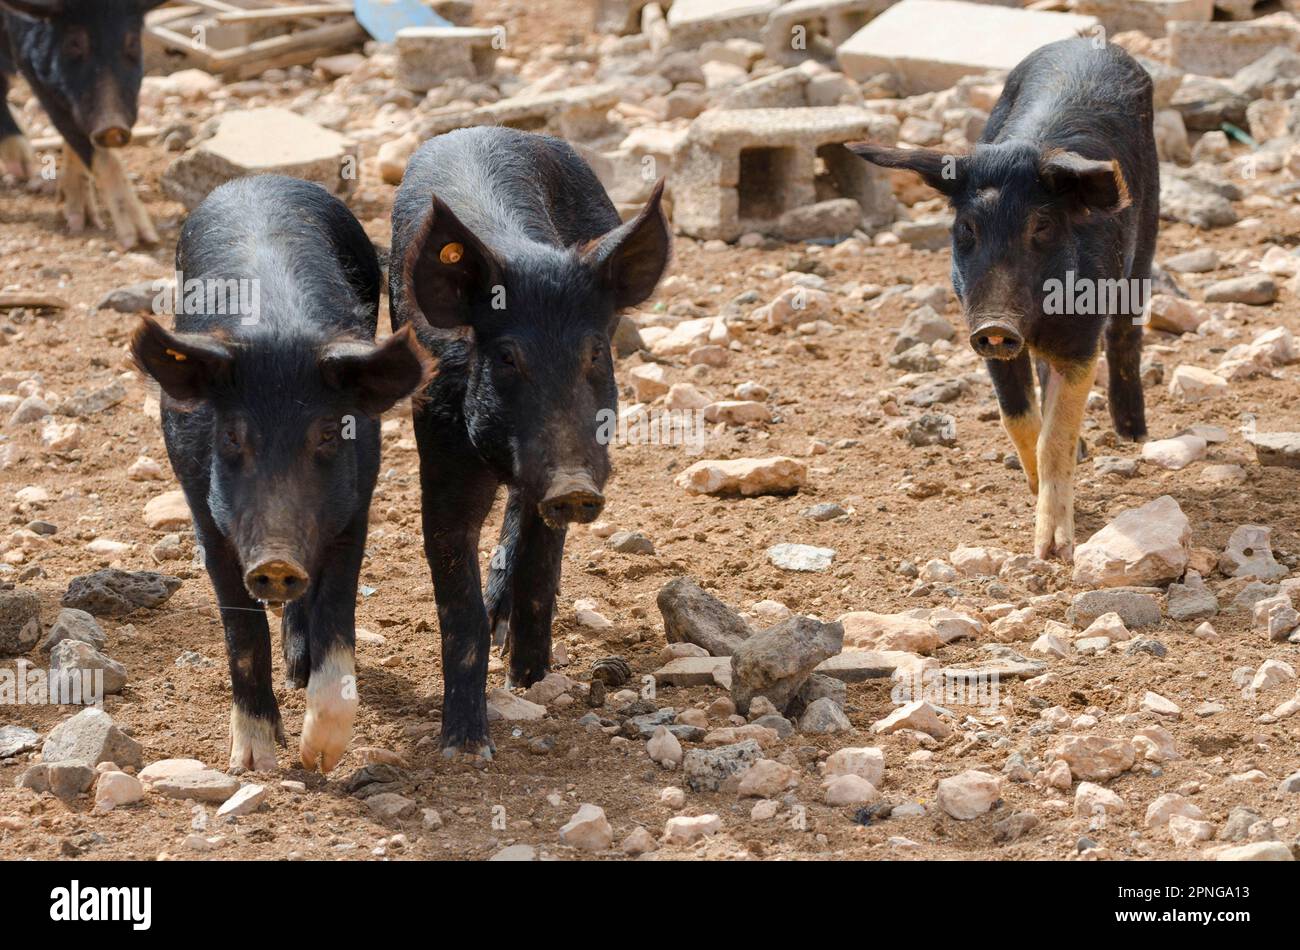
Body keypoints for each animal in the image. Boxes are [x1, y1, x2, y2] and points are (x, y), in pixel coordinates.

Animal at [0, 0, 165, 248]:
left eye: (132, 43)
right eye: (75, 42)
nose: (112, 126)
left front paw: (83, 220)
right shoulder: (28, 54)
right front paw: (136, 239)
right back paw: (22, 167)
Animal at [131, 176, 432, 772]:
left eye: (327, 434)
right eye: (232, 436)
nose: (275, 561)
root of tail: (261, 179)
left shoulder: (356, 504)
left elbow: (337, 613)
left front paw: (319, 758)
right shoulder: (205, 513)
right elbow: (242, 632)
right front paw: (253, 763)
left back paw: (300, 670)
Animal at [389, 126, 671, 757]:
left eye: (594, 353)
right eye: (507, 357)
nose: (573, 485)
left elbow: (543, 563)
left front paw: (530, 680)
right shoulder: (439, 443)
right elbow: (457, 598)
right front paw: (466, 748)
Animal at [849, 38, 1157, 560]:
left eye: (1042, 225)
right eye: (967, 228)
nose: (997, 322)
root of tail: (1084, 41)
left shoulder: (1082, 335)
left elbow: (1055, 434)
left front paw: (1053, 552)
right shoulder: (982, 338)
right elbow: (1017, 418)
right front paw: (1036, 492)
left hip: (1149, 225)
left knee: (1126, 332)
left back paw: (1133, 432)